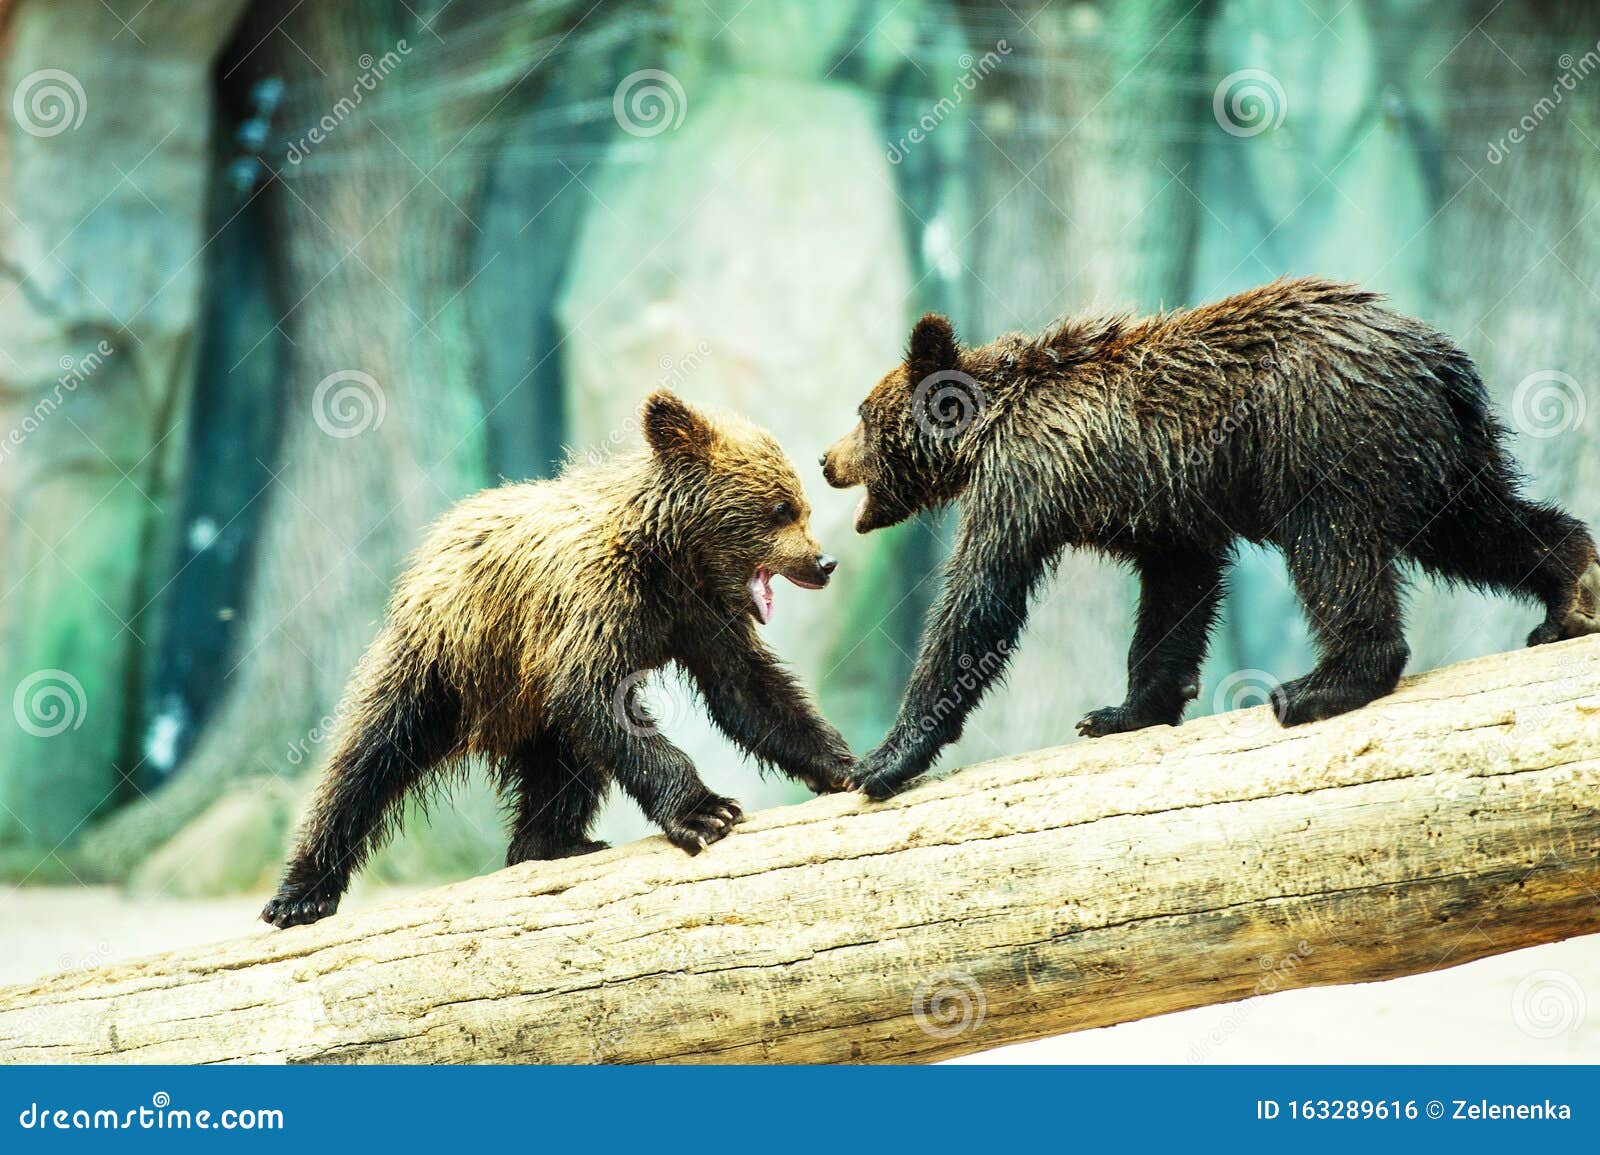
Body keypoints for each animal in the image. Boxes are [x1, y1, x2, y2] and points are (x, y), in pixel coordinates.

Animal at [262, 390, 853, 928]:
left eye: (801, 504)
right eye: (781, 509)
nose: (823, 562)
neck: (671, 563)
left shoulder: (704, 621)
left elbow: (750, 692)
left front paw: (843, 765)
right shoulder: (597, 601)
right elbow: (597, 695)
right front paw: (706, 811)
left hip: (528, 700)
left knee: (567, 771)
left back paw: (553, 844)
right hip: (443, 665)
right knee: (367, 759)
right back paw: (300, 894)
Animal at [822, 277, 1600, 799]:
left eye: (860, 411)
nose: (827, 459)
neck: (988, 430)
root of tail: (1438, 356)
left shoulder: (1025, 481)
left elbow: (980, 599)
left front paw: (881, 760)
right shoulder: (1163, 511)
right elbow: (1176, 596)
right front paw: (1122, 711)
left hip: (1322, 441)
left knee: (1335, 555)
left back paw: (1319, 684)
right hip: (1436, 454)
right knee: (1479, 527)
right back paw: (1571, 591)